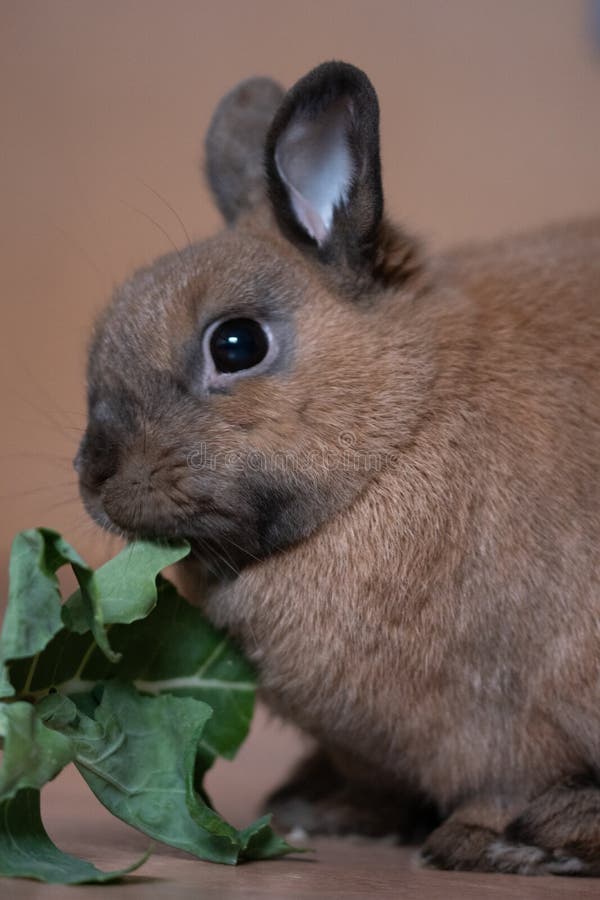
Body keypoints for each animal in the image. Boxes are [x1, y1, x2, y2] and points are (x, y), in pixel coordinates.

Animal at [75, 61, 600, 876]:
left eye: (235, 344)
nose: (95, 473)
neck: (408, 429)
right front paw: (322, 813)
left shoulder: (515, 725)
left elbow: (505, 782)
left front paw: (479, 841)